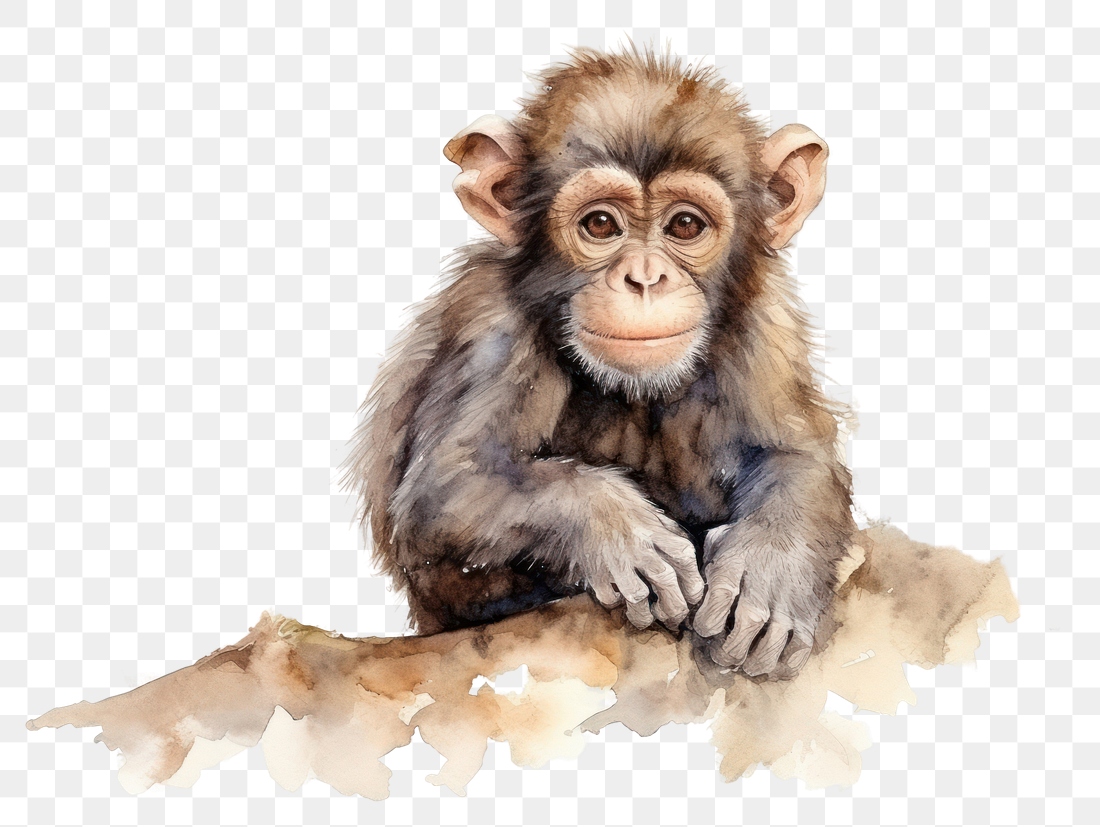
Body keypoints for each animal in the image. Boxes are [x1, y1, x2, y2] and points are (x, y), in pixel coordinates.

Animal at [343, 48, 857, 680]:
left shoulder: (767, 321)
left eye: (685, 225)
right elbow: (450, 483)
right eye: (600, 225)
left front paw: (770, 575)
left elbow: (794, 454)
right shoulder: (492, 326)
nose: (644, 278)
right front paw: (617, 527)